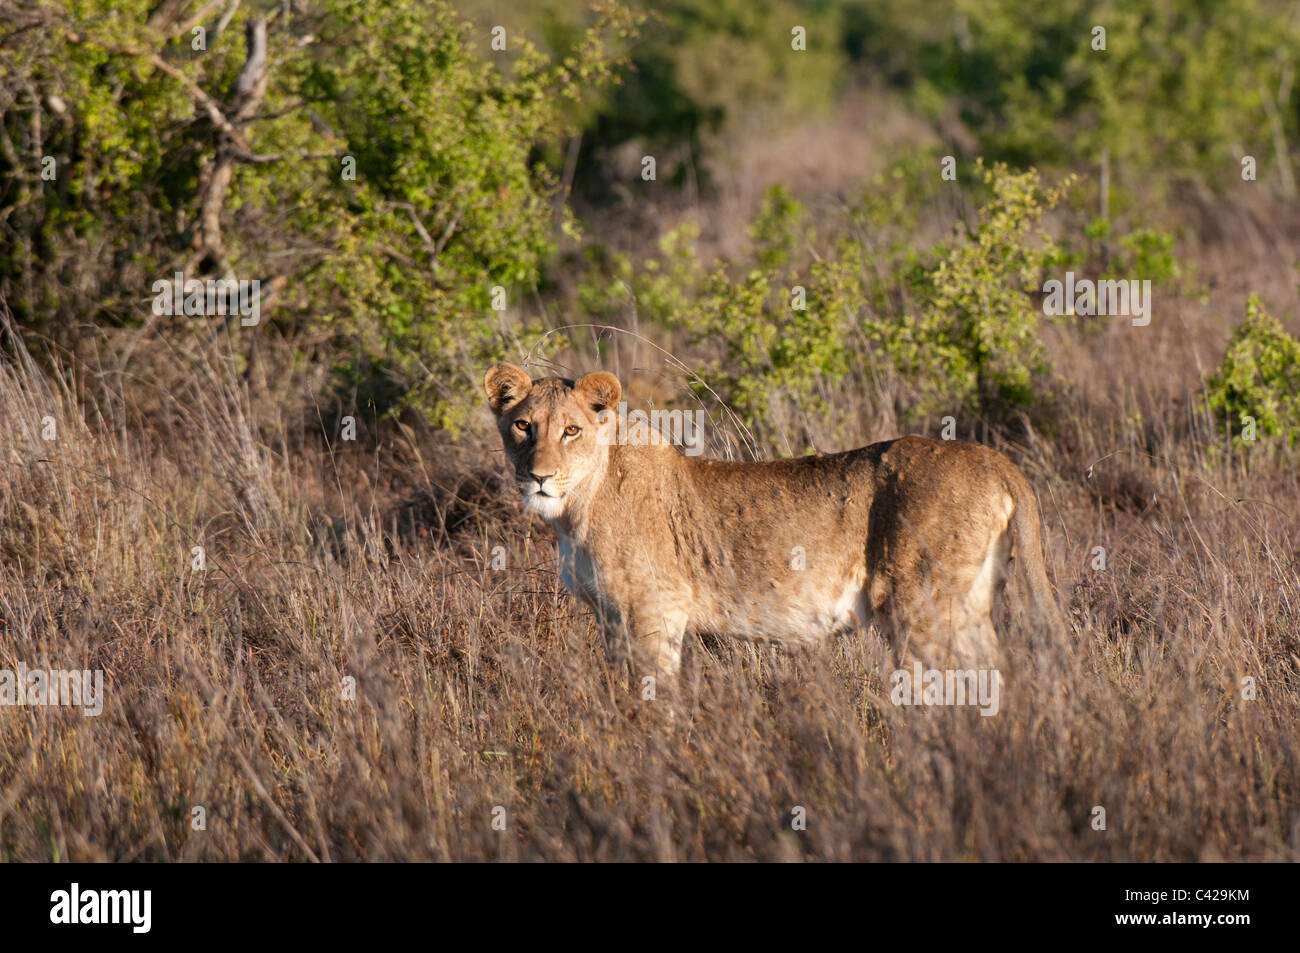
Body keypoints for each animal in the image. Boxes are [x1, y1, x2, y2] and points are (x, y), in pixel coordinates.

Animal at [484, 362, 1068, 686]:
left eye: (571, 430)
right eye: (523, 425)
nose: (537, 476)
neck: (574, 511)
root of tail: (994, 458)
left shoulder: (654, 611)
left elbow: (653, 699)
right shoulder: (609, 617)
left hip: (920, 606)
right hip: (967, 601)